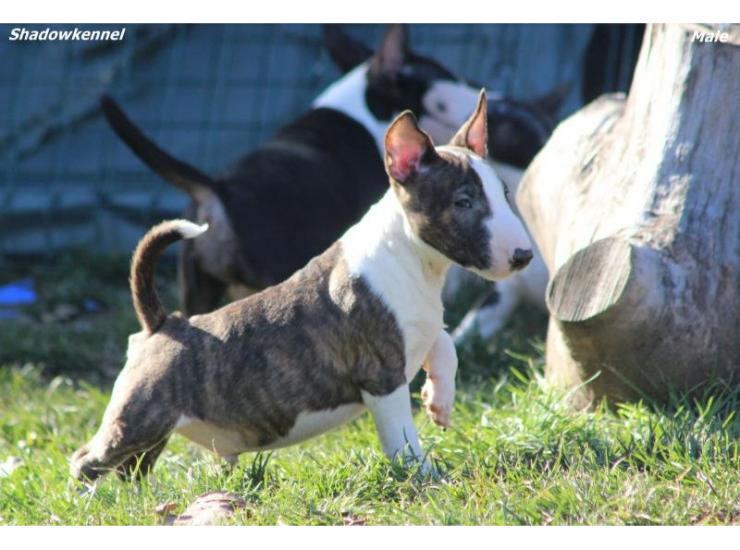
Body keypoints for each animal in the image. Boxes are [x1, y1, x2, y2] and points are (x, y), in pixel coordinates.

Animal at [69, 89, 532, 484]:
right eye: (463, 202)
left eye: (504, 192)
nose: (524, 257)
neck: (413, 259)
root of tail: (162, 324)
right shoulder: (381, 372)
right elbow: (401, 435)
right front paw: (424, 476)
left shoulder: (421, 325)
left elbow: (446, 344)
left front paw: (440, 402)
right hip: (140, 415)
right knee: (88, 460)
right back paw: (97, 502)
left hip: (154, 430)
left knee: (133, 468)